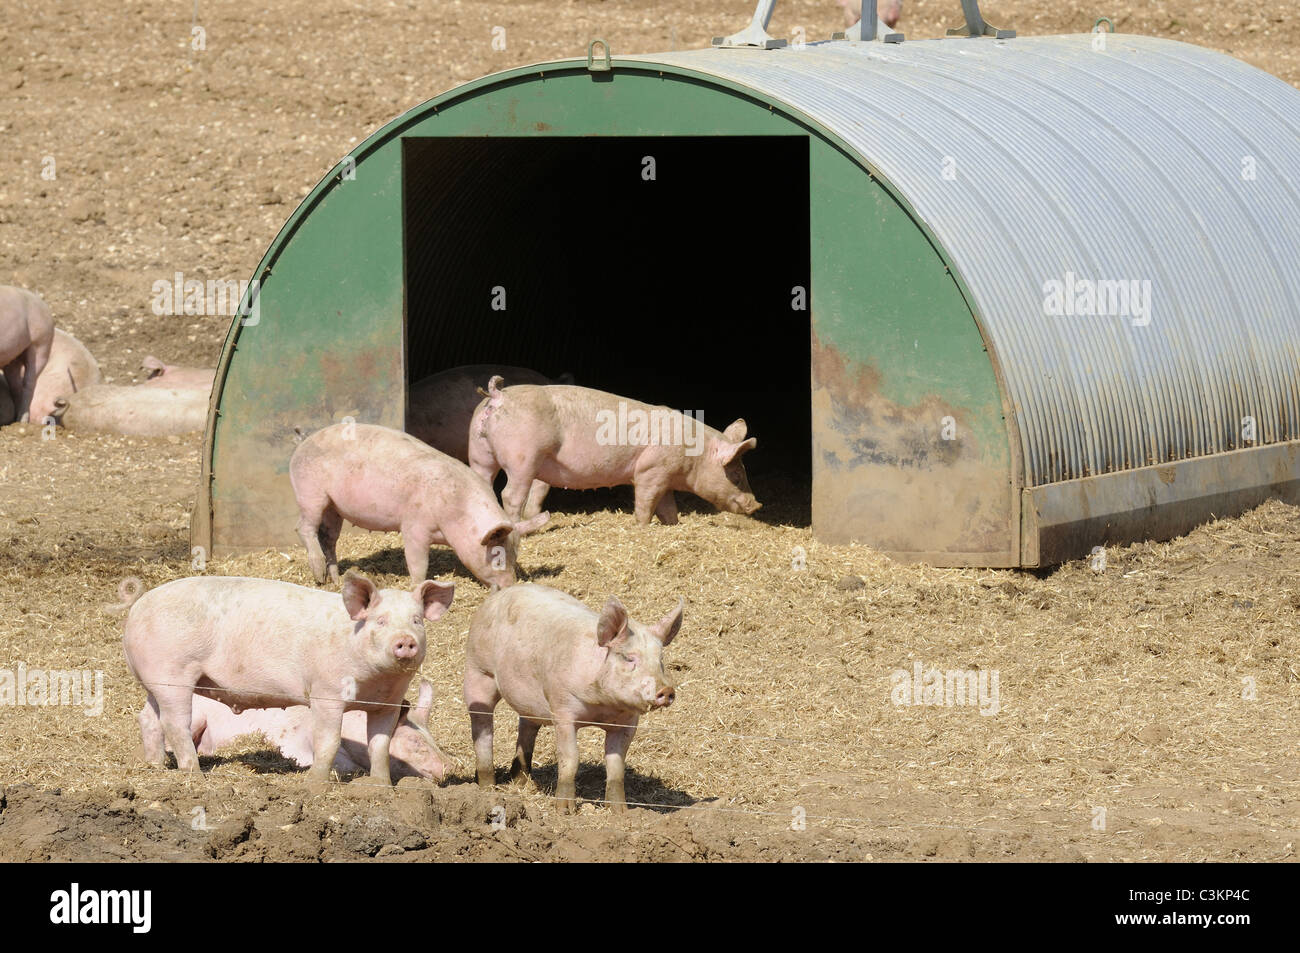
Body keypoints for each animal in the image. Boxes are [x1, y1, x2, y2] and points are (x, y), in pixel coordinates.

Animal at [0, 286, 55, 423]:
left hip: (42, 344)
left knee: (30, 383)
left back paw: (23, 421)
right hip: (13, 358)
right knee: (15, 385)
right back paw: (15, 420)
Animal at [290, 422, 549, 588]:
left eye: (515, 556)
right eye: (497, 556)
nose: (510, 586)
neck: (457, 513)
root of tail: (303, 441)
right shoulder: (414, 527)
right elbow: (418, 563)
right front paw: (416, 587)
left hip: (333, 507)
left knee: (328, 537)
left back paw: (334, 579)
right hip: (310, 494)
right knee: (304, 527)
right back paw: (319, 575)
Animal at [465, 583, 683, 813]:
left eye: (660, 660)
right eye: (629, 658)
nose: (667, 690)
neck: (602, 705)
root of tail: (497, 595)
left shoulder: (627, 722)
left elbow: (616, 765)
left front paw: (620, 811)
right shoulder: (562, 708)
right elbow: (570, 758)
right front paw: (565, 810)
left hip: (528, 699)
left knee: (527, 726)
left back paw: (520, 781)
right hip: (478, 670)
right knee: (483, 727)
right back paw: (487, 787)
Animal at [467, 376, 760, 525]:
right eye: (735, 476)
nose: (756, 504)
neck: (693, 455)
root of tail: (497, 396)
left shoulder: (665, 479)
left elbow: (668, 509)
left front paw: (671, 526)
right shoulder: (650, 471)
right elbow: (645, 504)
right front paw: (642, 528)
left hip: (478, 452)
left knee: (482, 484)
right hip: (524, 457)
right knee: (510, 494)